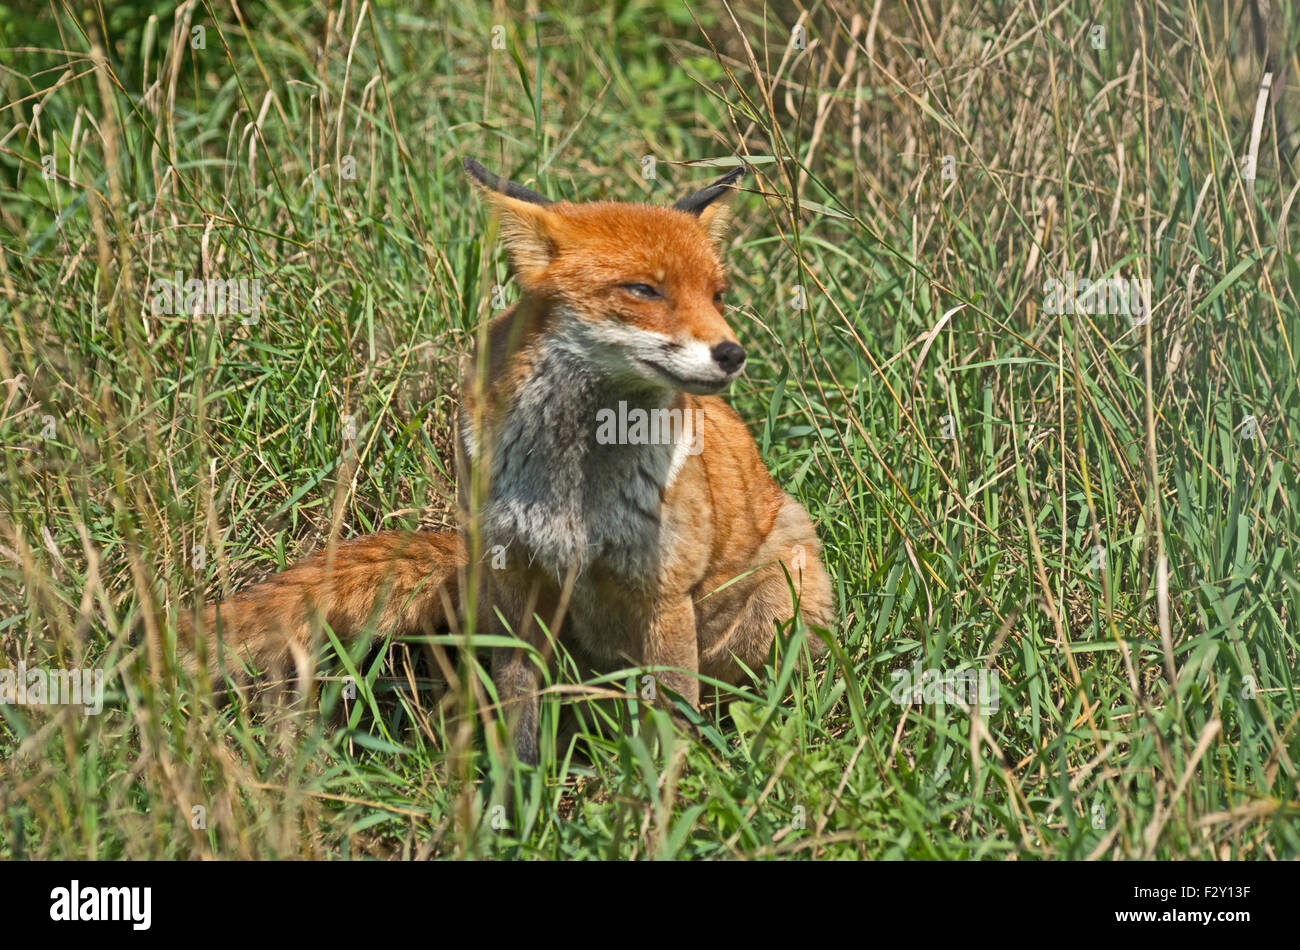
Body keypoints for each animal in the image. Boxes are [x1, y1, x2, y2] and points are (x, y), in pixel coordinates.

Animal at [178, 158, 836, 764]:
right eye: (644, 290)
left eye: (718, 295)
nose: (732, 353)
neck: (573, 479)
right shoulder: (515, 576)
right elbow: (519, 709)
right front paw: (517, 791)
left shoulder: (663, 592)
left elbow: (669, 725)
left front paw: (668, 796)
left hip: (781, 586)